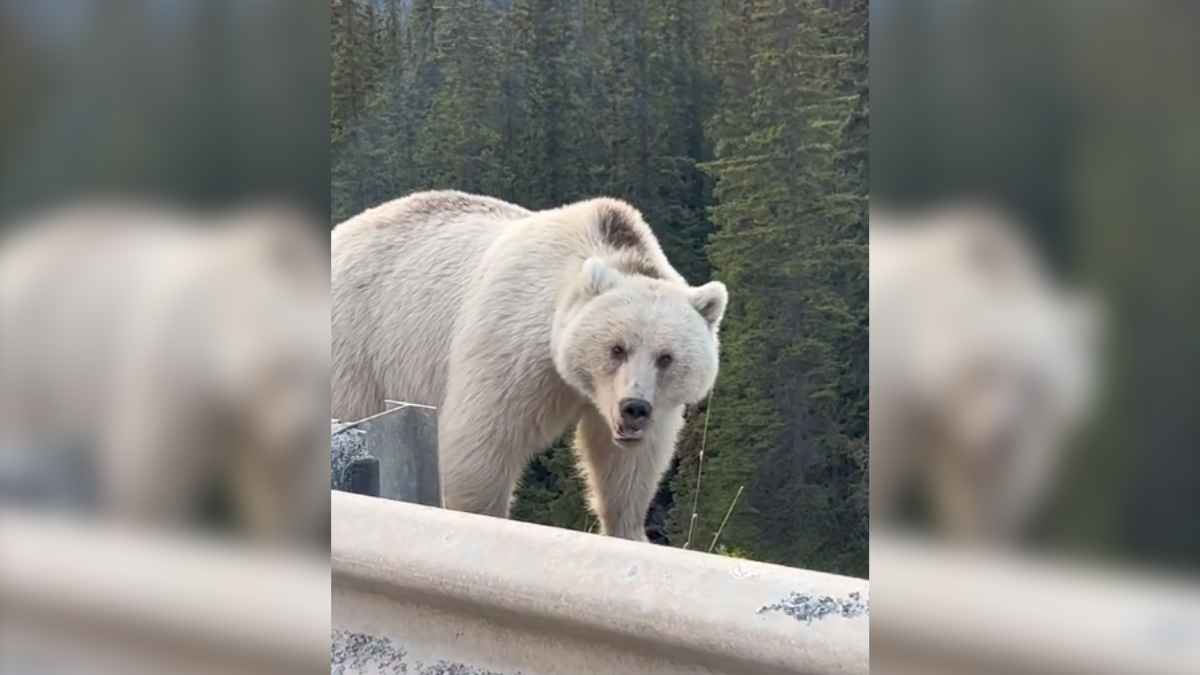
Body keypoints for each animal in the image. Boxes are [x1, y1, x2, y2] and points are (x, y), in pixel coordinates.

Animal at [0, 201, 330, 545]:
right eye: (284, 365)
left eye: (321, 376)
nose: (302, 436)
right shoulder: (174, 376)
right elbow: (151, 473)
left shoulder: (251, 423)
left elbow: (276, 490)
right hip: (30, 366)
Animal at [331, 191, 727, 541]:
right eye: (617, 348)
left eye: (666, 357)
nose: (635, 407)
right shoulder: (513, 350)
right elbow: (480, 443)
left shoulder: (640, 409)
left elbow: (628, 469)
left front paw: (631, 531)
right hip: (360, 343)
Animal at [869, 203, 1100, 543]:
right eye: (986, 368)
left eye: (1035, 385)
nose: (1003, 438)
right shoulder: (895, 392)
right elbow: (882, 461)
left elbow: (988, 493)